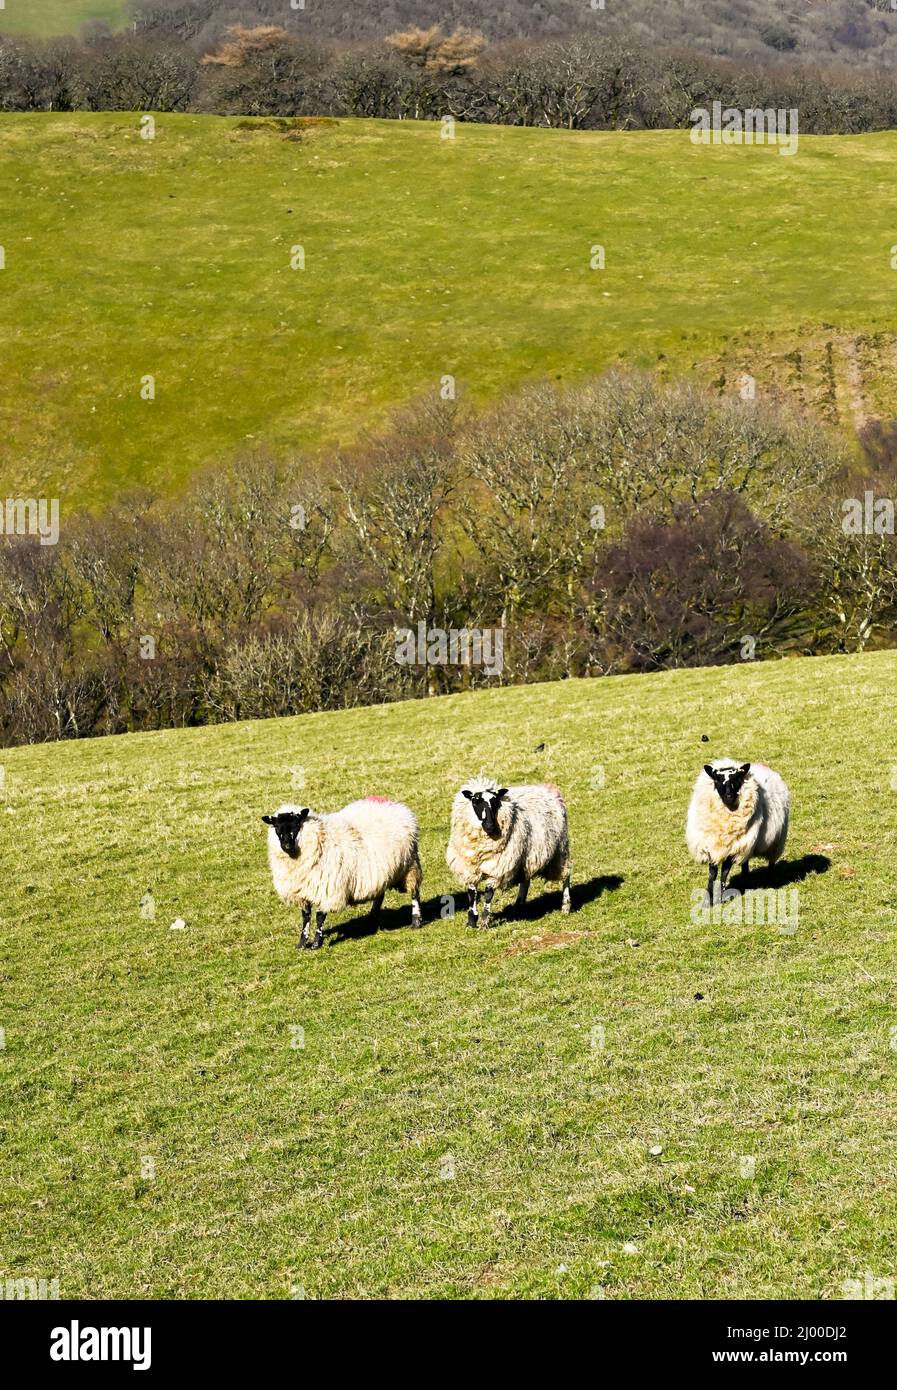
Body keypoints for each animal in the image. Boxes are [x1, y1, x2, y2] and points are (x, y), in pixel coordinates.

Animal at [262, 796, 422, 950]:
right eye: (277, 827)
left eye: (297, 825)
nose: (286, 845)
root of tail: (394, 804)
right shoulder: (304, 891)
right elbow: (305, 917)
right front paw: (302, 943)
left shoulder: (326, 888)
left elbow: (320, 916)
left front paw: (316, 944)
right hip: (380, 872)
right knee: (379, 895)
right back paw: (371, 920)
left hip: (410, 865)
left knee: (415, 893)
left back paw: (416, 921)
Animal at [446, 777, 571, 928]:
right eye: (475, 801)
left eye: (495, 802)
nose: (490, 825)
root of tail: (549, 788)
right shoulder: (469, 868)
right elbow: (471, 894)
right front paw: (471, 921)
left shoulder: (497, 867)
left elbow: (488, 893)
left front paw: (484, 922)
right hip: (527, 857)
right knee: (526, 880)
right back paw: (519, 904)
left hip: (560, 850)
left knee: (566, 875)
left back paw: (566, 906)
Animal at [685, 759, 790, 903]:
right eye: (717, 779)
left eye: (737, 779)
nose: (729, 796)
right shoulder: (711, 846)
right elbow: (712, 873)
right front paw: (709, 900)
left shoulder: (732, 847)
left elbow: (724, 872)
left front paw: (721, 898)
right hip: (747, 844)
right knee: (745, 863)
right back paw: (746, 881)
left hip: (776, 841)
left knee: (771, 861)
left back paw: (769, 879)